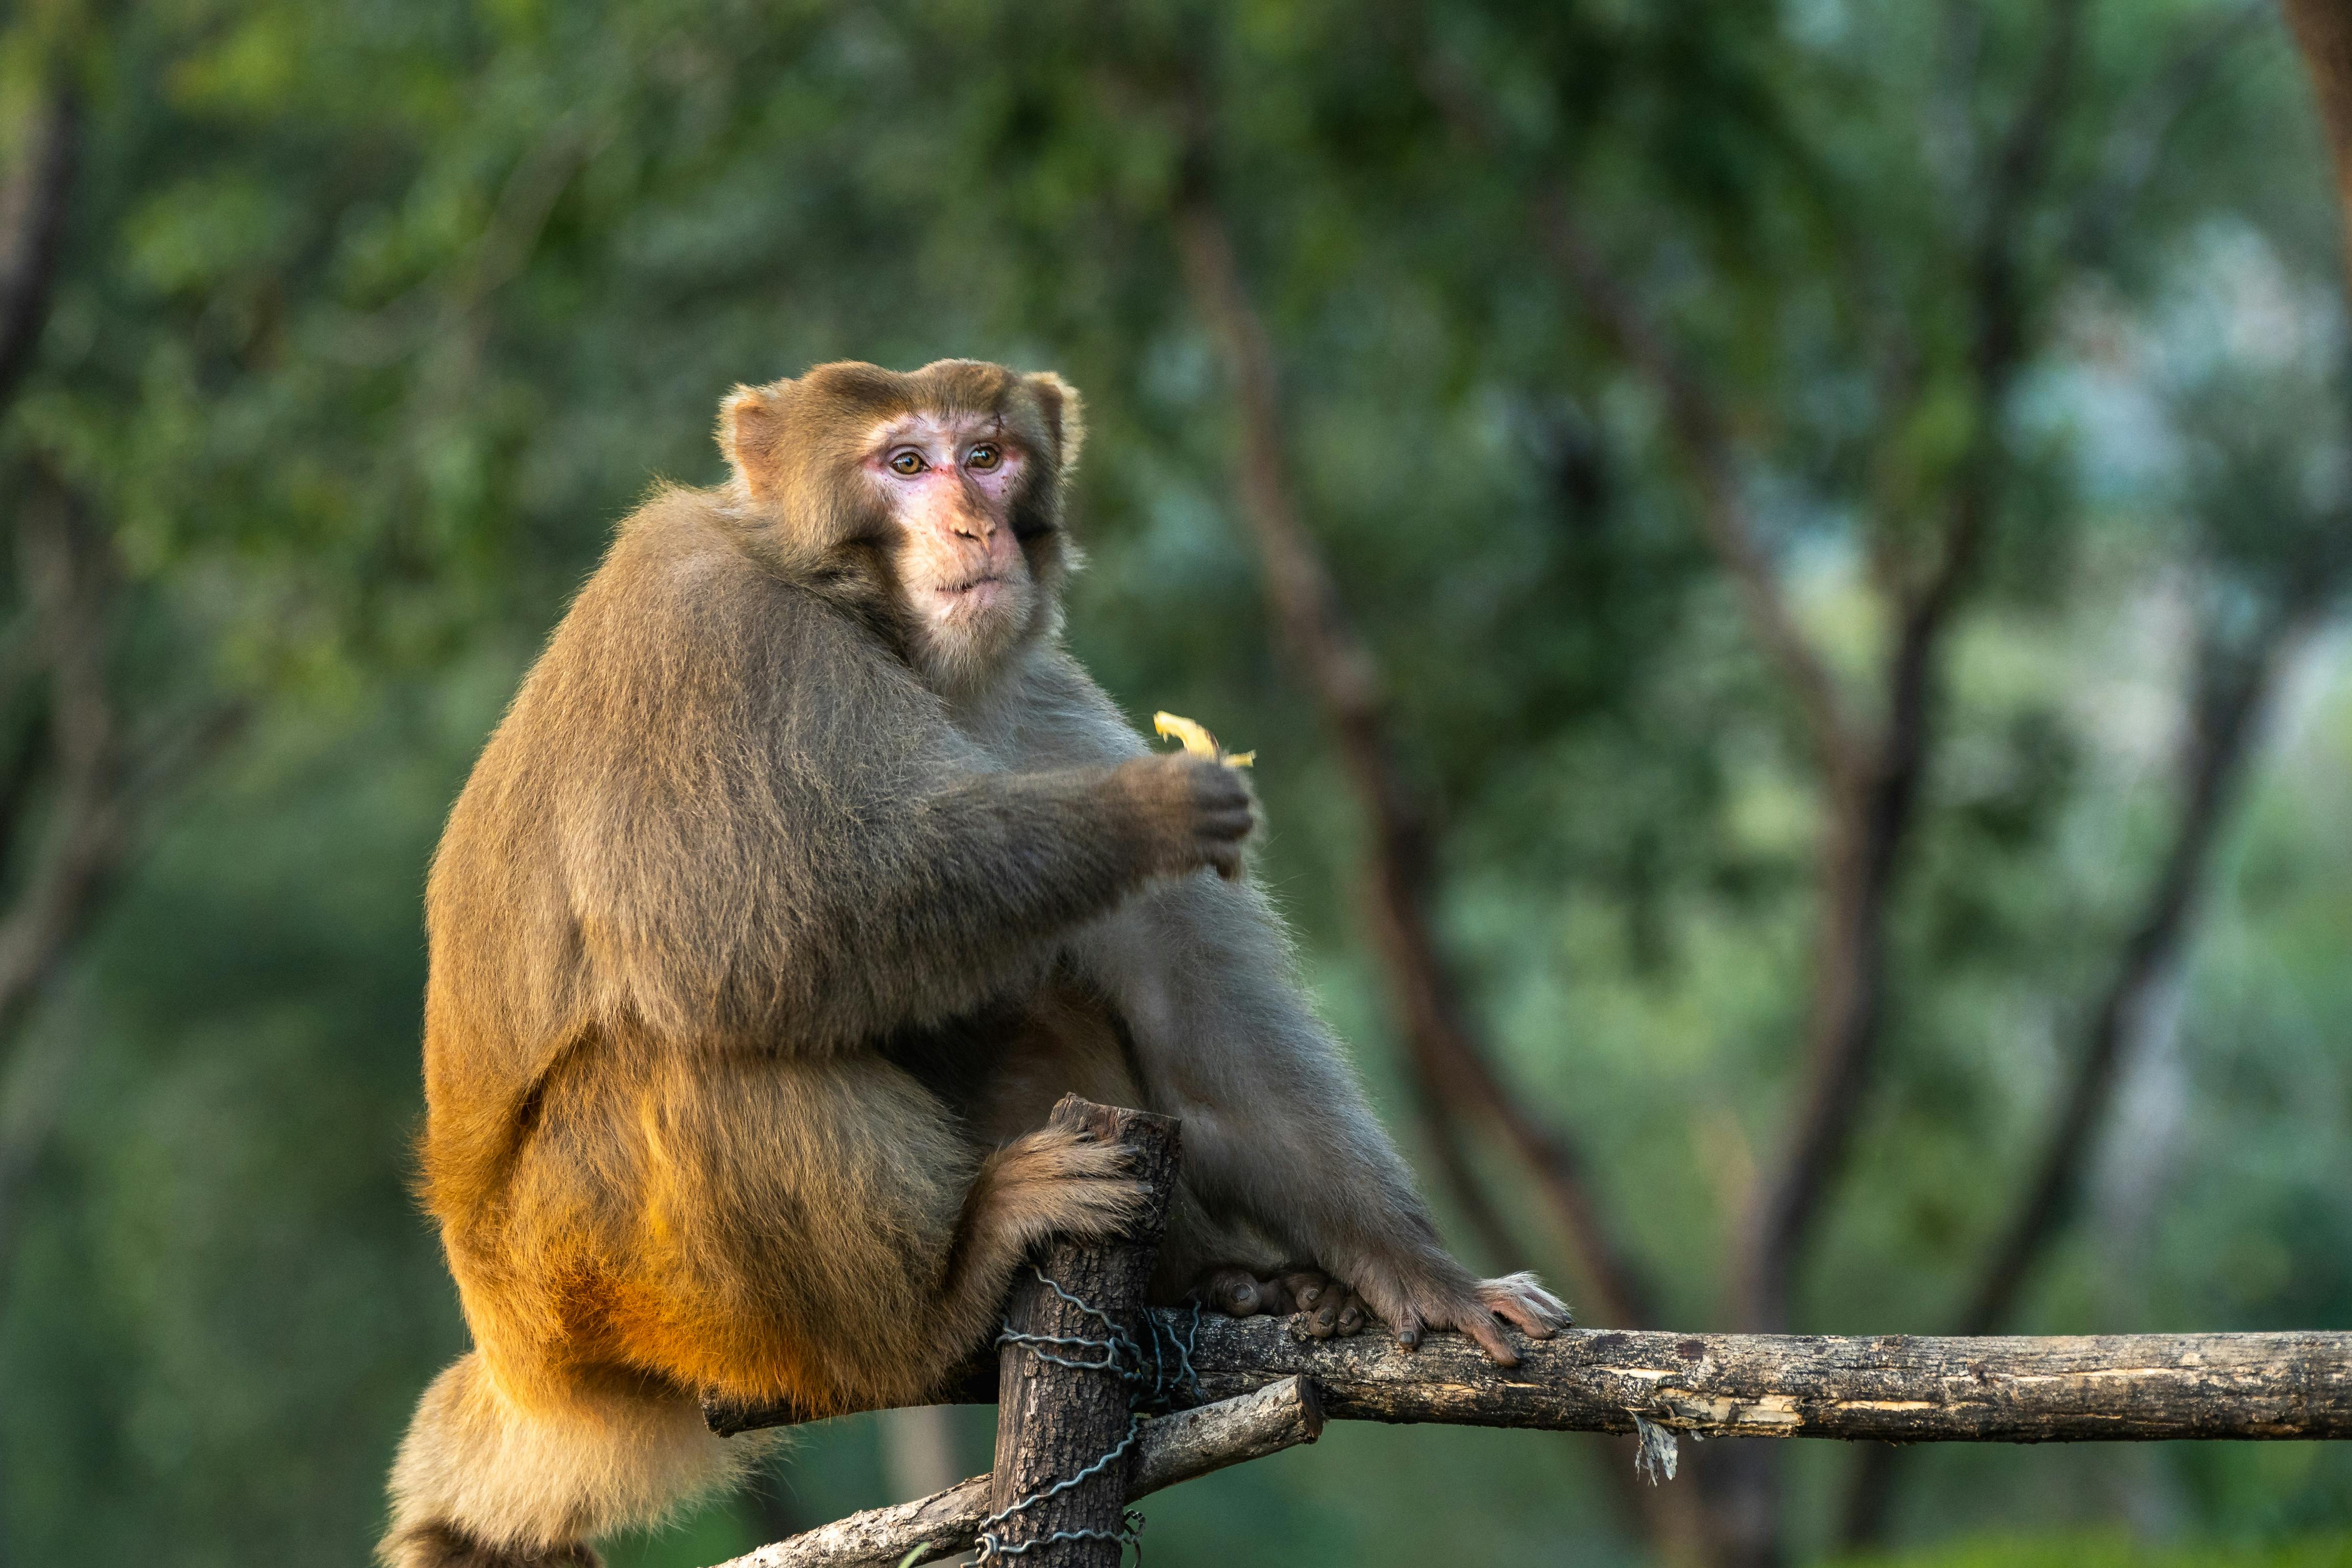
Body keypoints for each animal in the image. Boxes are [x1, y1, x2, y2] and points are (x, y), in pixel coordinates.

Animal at [382, 359, 1567, 1568]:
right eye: (905, 462)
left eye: (988, 454)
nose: (973, 523)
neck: (860, 616)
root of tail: (525, 1364)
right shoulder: (701, 629)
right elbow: (721, 934)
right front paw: (1133, 819)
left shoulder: (1040, 703)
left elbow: (1192, 1012)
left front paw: (1413, 1270)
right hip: (596, 1275)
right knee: (685, 1059)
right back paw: (938, 1305)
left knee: (1033, 1005)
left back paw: (1226, 1284)